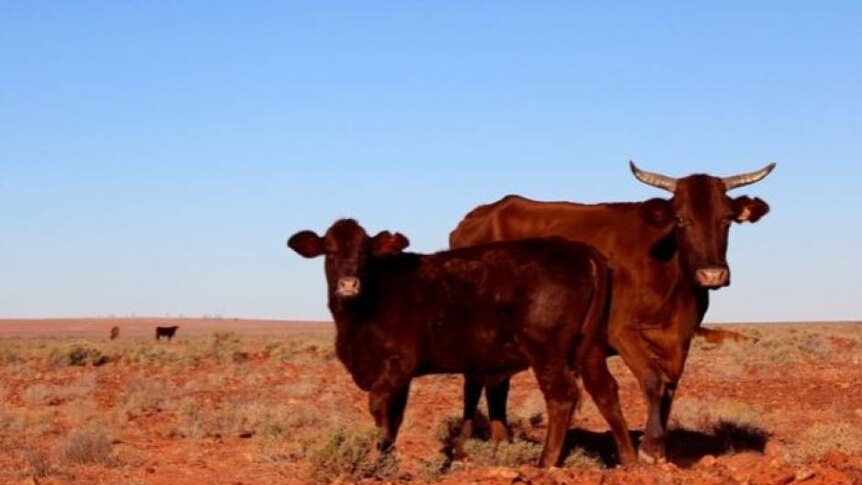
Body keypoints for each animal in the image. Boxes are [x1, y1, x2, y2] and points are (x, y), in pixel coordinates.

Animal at [290, 218, 636, 466]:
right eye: (330, 252)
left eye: (365, 253)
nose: (349, 284)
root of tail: (583, 251)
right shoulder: (398, 375)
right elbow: (394, 418)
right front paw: (387, 461)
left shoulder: (399, 364)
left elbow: (379, 407)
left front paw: (379, 462)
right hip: (590, 347)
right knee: (605, 392)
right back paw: (629, 461)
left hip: (546, 348)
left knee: (562, 396)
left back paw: (545, 463)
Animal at [452, 160, 776, 462]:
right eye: (682, 219)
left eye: (727, 220)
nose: (711, 274)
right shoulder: (622, 332)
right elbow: (653, 381)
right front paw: (650, 448)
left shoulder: (679, 338)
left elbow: (670, 386)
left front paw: (658, 447)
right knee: (475, 384)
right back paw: (467, 448)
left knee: (496, 384)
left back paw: (502, 443)